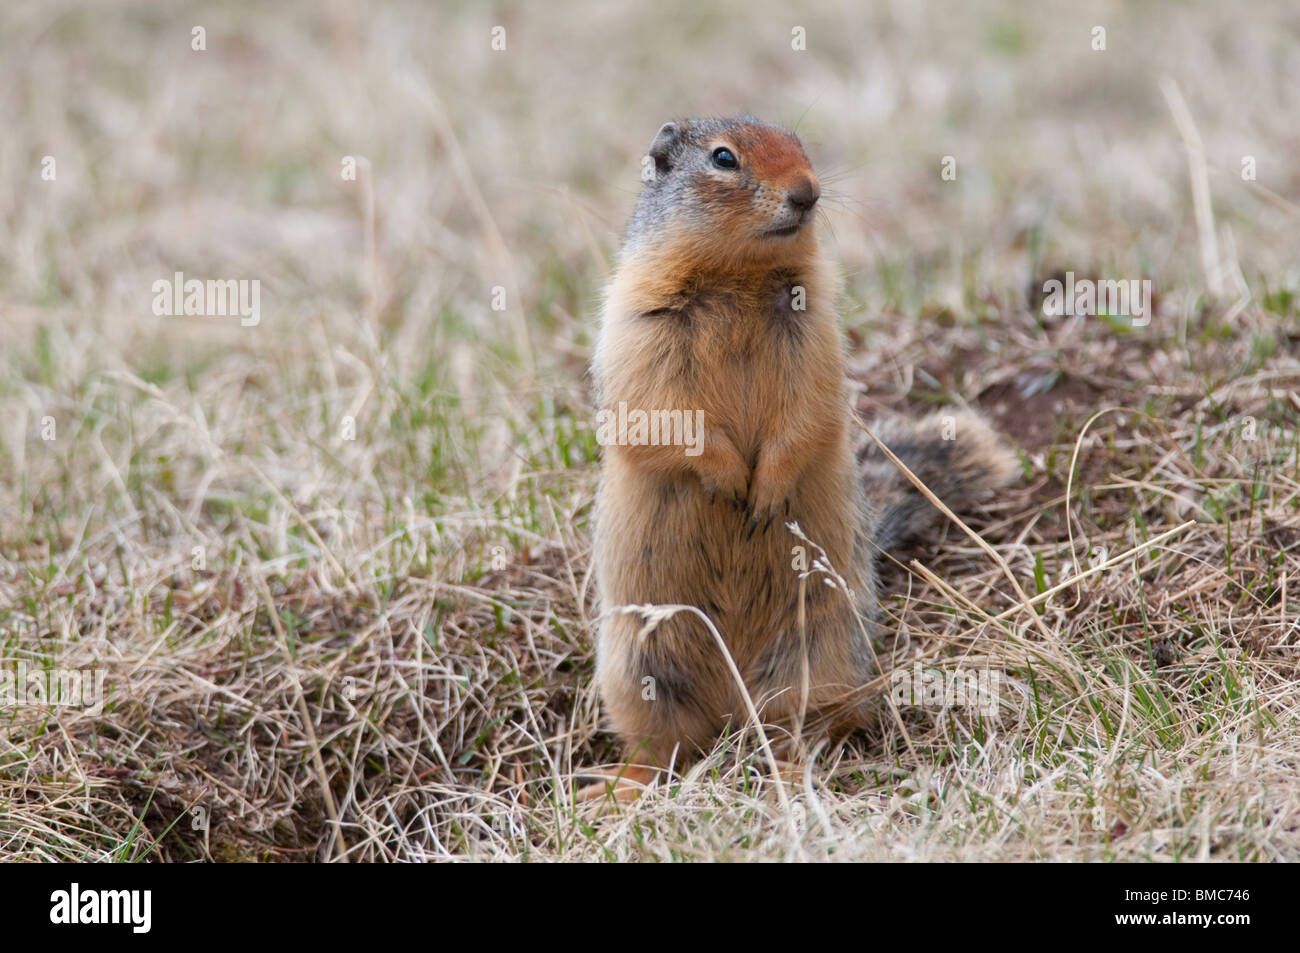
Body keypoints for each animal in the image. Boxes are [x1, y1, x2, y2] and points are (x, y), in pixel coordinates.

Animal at [589, 116, 1018, 785]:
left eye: (800, 145)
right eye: (723, 159)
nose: (808, 192)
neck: (735, 276)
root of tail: (732, 710)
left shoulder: (815, 325)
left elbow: (805, 413)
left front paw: (764, 492)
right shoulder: (639, 319)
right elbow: (663, 412)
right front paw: (727, 480)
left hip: (821, 649)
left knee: (808, 723)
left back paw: (793, 770)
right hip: (637, 664)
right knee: (661, 745)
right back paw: (626, 788)